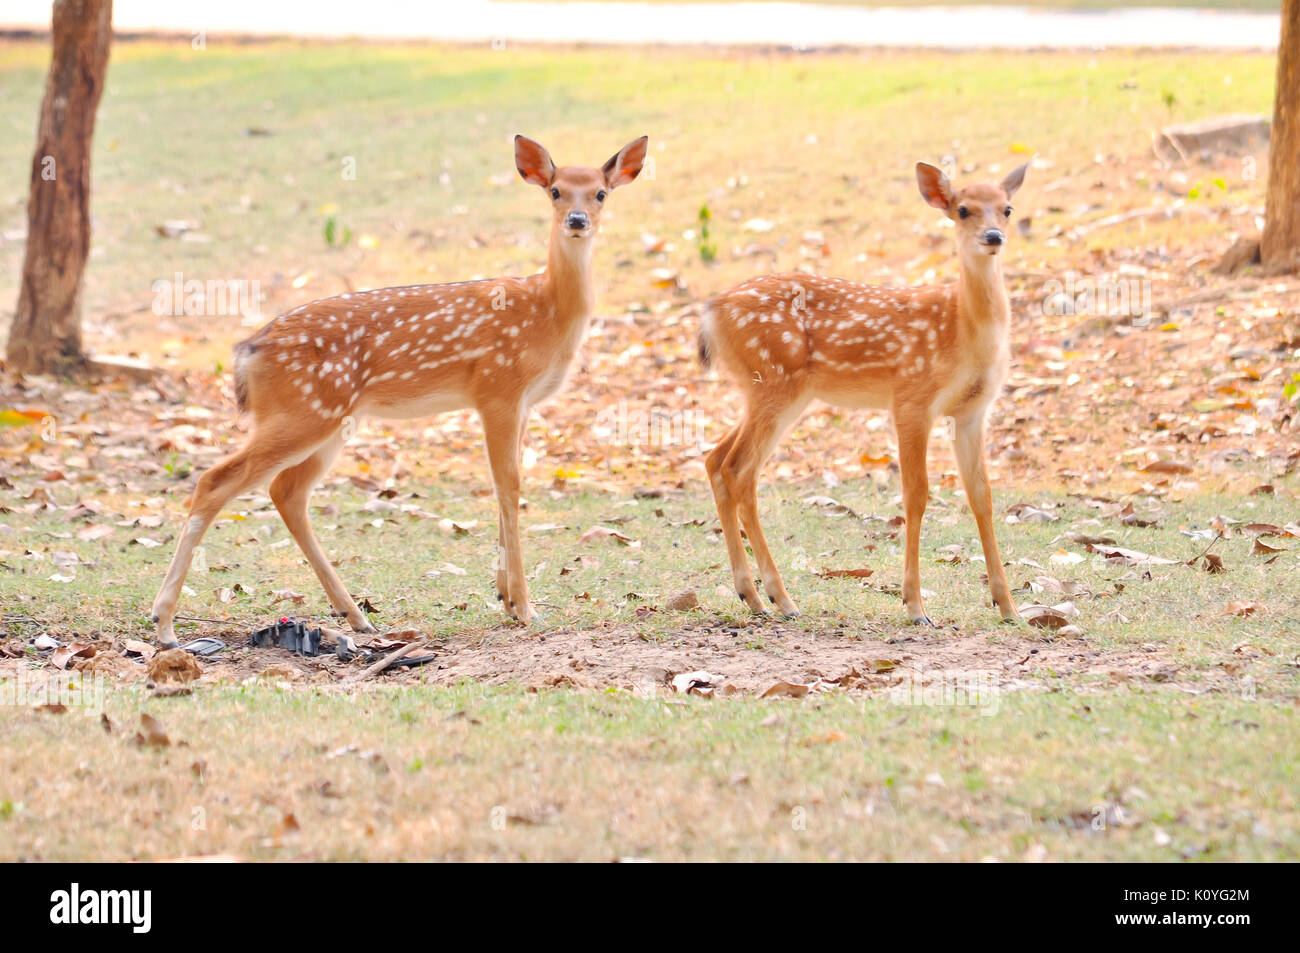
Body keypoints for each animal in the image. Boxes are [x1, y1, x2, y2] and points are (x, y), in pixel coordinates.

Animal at [149, 135, 648, 647]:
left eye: (600, 193)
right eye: (555, 191)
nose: (577, 220)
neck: (547, 312)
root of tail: (247, 351)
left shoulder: (522, 403)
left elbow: (501, 485)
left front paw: (506, 598)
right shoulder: (497, 388)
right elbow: (508, 486)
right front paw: (525, 608)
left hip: (328, 420)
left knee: (287, 492)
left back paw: (357, 616)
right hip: (302, 410)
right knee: (216, 480)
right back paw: (165, 624)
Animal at [699, 159, 1030, 627]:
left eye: (1007, 208)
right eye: (962, 209)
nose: (994, 236)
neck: (960, 328)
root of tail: (711, 312)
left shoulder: (971, 412)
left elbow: (981, 496)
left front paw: (1009, 606)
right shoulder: (911, 397)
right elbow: (916, 495)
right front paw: (915, 606)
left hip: (769, 391)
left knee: (716, 459)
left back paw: (753, 595)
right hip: (776, 382)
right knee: (739, 470)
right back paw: (781, 598)